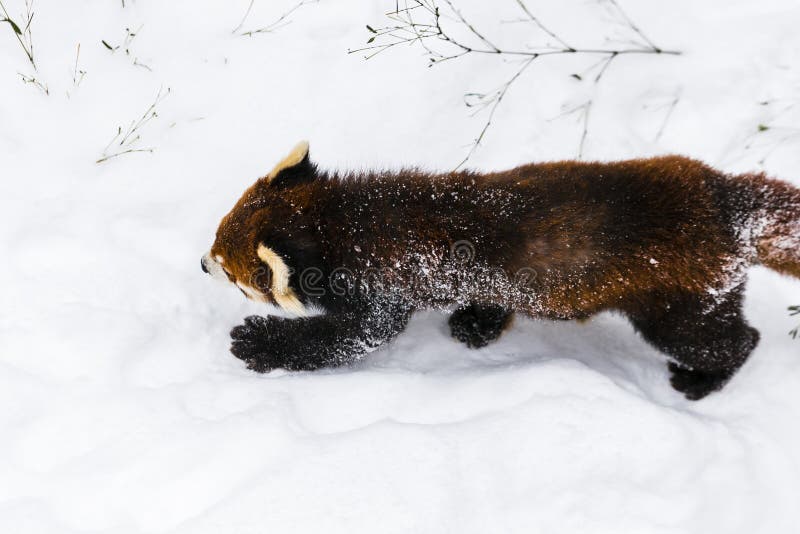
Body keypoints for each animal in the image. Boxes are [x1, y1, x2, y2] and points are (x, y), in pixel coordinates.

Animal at [202, 141, 800, 400]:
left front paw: (256, 343)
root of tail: (725, 198)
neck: (353, 220)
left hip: (677, 298)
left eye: (234, 275)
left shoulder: (385, 282)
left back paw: (704, 378)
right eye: (216, 231)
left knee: (721, 338)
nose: (203, 263)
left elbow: (351, 335)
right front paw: (480, 320)